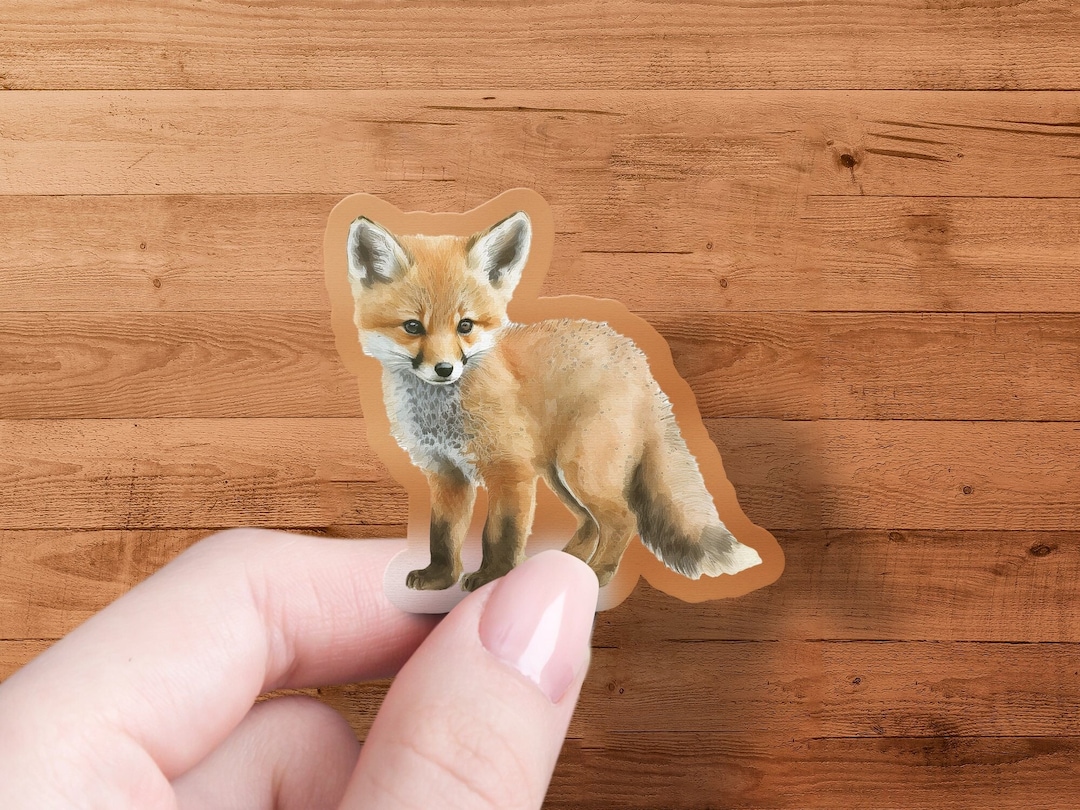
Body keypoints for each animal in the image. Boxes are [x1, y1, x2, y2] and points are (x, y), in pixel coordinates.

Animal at [346, 210, 762, 591]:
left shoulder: (511, 471)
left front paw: (494, 579)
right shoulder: (446, 473)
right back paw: (564, 565)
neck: (440, 413)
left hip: (582, 471)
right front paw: (440, 577)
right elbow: (442, 535)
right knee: (590, 522)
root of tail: (638, 360)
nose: (445, 369)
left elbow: (500, 535)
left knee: (623, 519)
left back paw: (597, 574)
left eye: (465, 325)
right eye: (412, 327)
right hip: (558, 474)